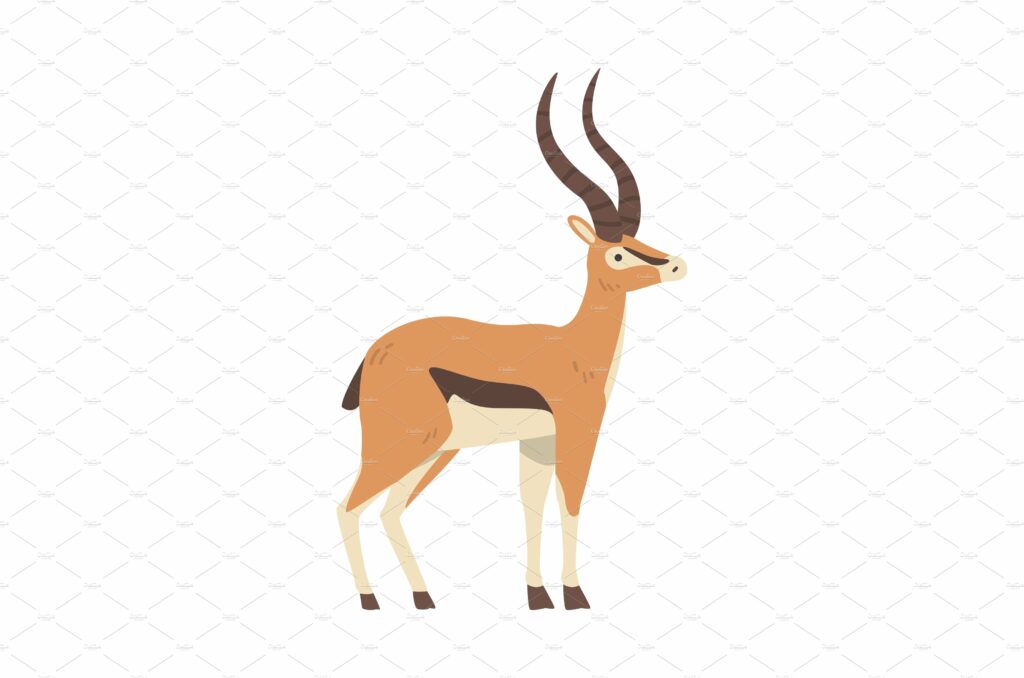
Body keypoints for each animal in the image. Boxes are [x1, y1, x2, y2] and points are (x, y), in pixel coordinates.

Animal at [339, 71, 686, 611]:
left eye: (638, 240)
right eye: (617, 255)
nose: (675, 265)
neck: (575, 348)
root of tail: (372, 355)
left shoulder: (537, 445)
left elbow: (531, 507)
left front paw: (537, 596)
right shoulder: (577, 434)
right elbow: (570, 502)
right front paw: (576, 596)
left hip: (437, 450)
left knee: (390, 508)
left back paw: (423, 598)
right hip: (407, 443)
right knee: (349, 506)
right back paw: (370, 602)